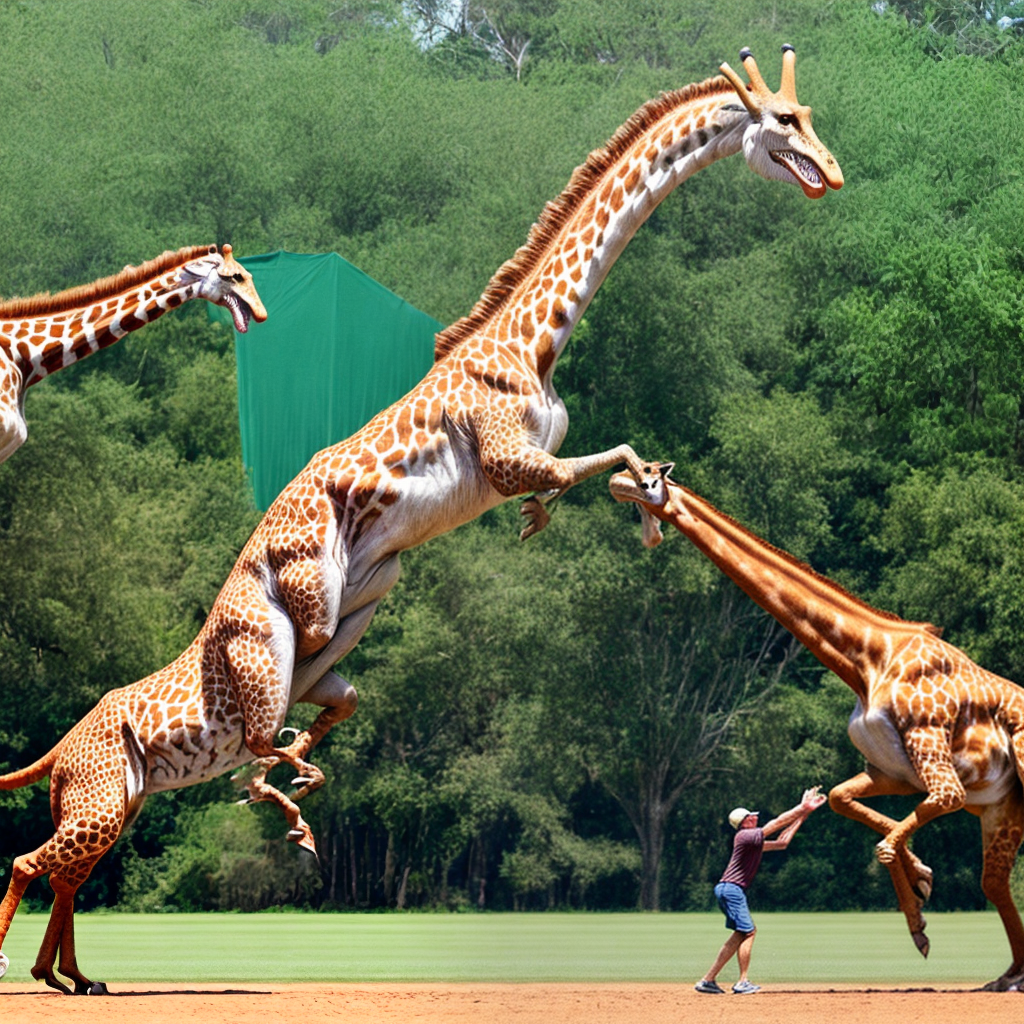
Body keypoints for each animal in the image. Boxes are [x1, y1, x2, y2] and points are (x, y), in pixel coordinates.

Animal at [610, 463, 1024, 991]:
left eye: (647, 476)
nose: (615, 482)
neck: (867, 661)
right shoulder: (893, 770)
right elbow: (848, 803)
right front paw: (920, 901)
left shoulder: (932, 748)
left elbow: (899, 831)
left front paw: (919, 885)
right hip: (1001, 810)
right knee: (994, 882)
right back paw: (1009, 975)